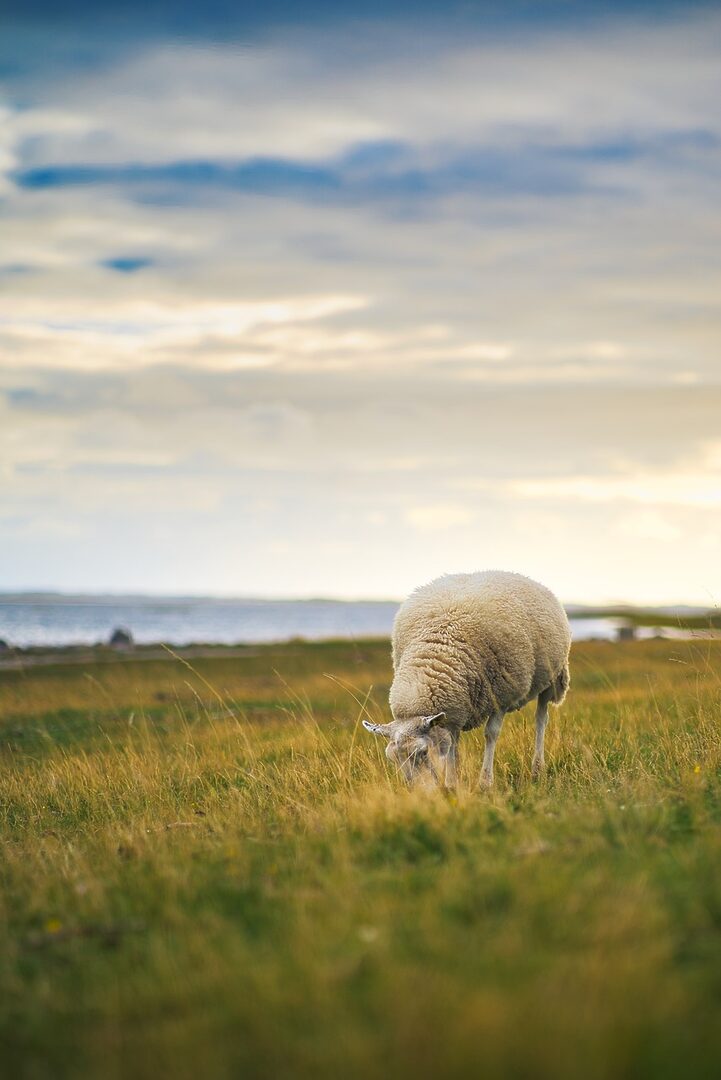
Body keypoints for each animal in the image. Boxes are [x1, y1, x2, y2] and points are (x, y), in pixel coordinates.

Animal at [362, 570, 569, 790]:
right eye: (392, 759)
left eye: (423, 752)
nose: (421, 793)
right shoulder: (455, 708)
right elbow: (452, 743)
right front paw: (452, 783)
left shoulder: (501, 696)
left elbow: (491, 734)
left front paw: (485, 783)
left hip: (552, 678)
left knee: (541, 719)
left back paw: (537, 768)